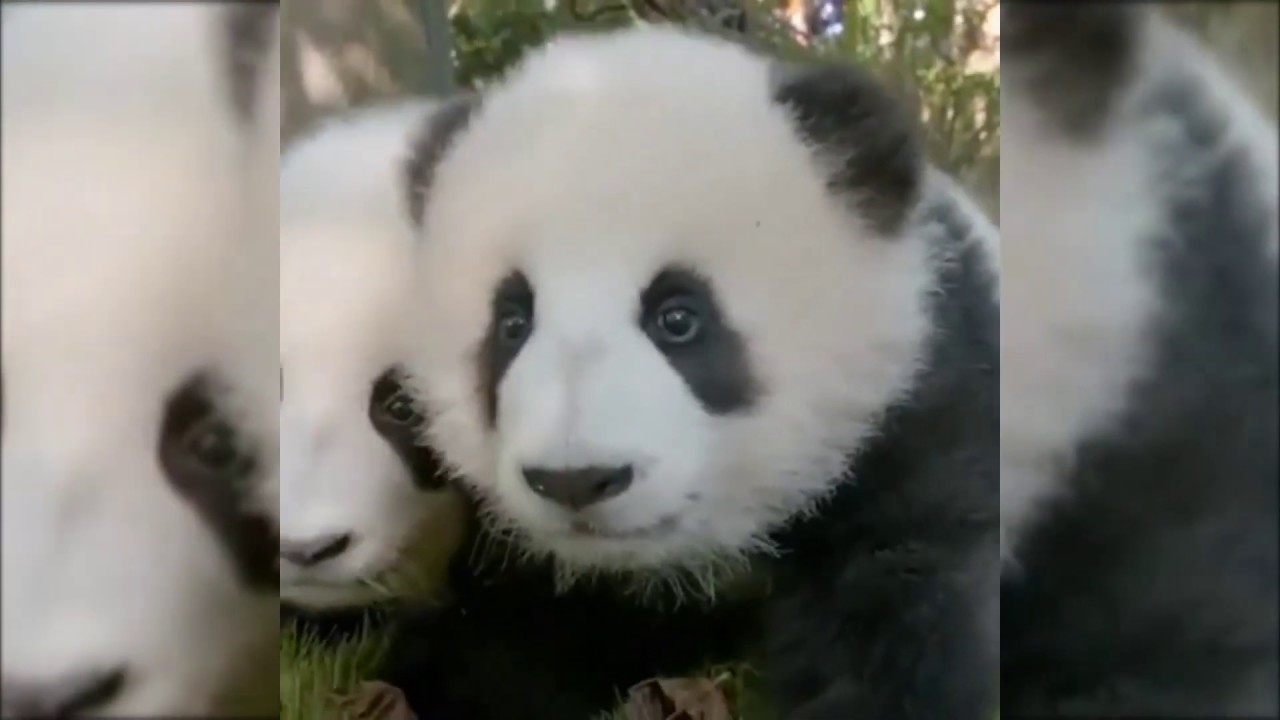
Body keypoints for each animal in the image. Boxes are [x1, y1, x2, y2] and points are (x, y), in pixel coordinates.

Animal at [399, 24, 1000, 720]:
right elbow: (507, 644)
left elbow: (898, 612)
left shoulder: (921, 417)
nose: (576, 481)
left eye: (679, 318)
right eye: (513, 323)